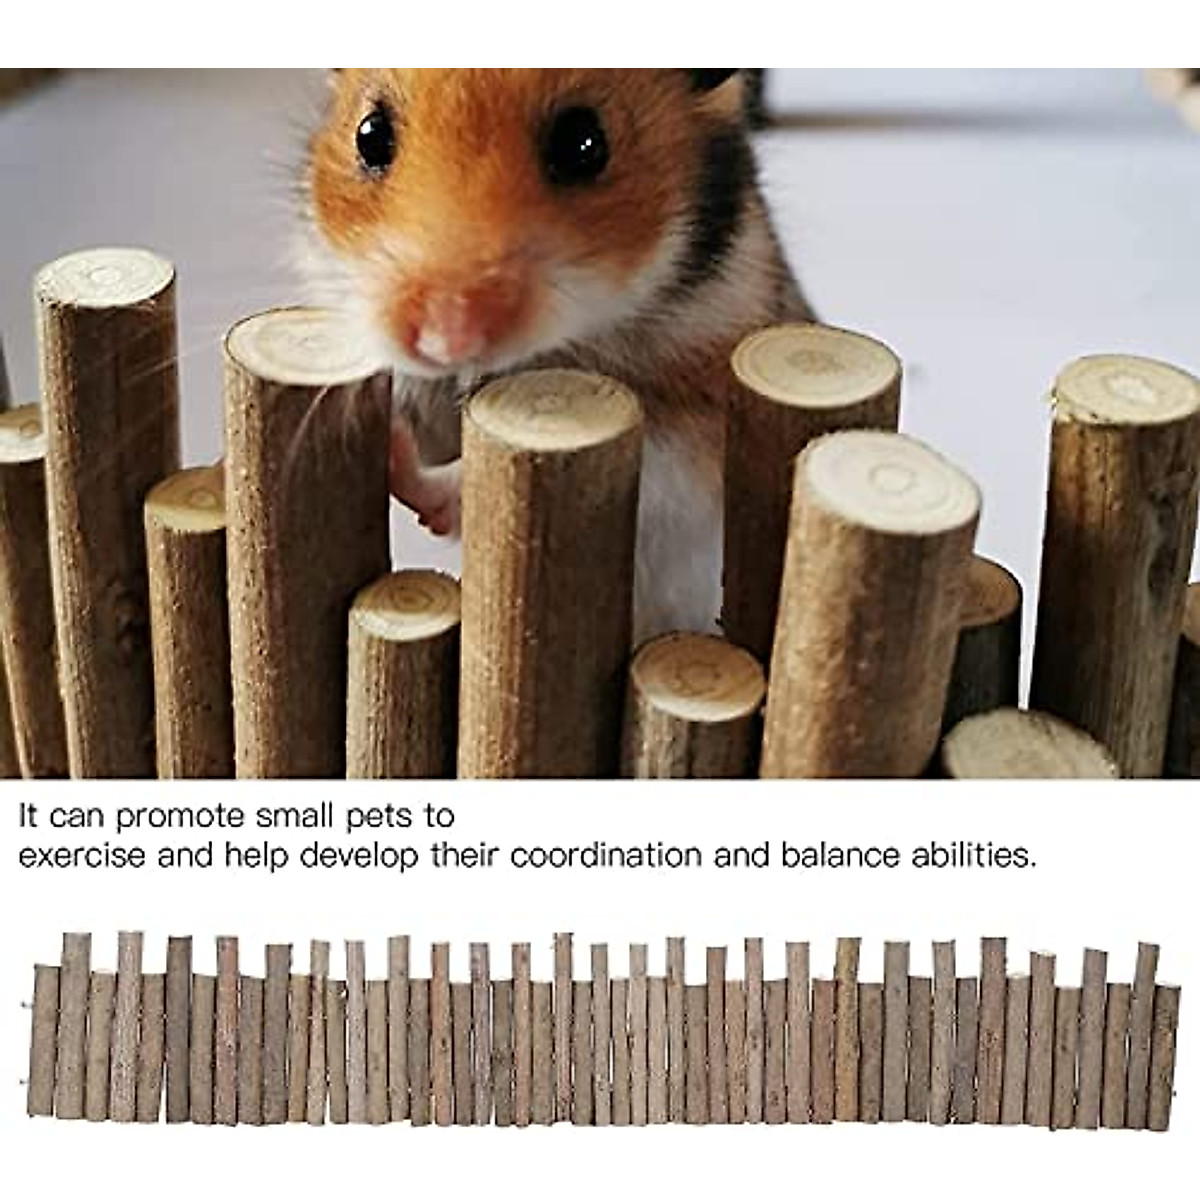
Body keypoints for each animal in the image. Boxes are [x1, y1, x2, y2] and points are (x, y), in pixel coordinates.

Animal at [300, 68, 811, 640]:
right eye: (370, 135)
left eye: (582, 144)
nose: (444, 341)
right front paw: (388, 435)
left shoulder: (694, 438)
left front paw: (408, 469)